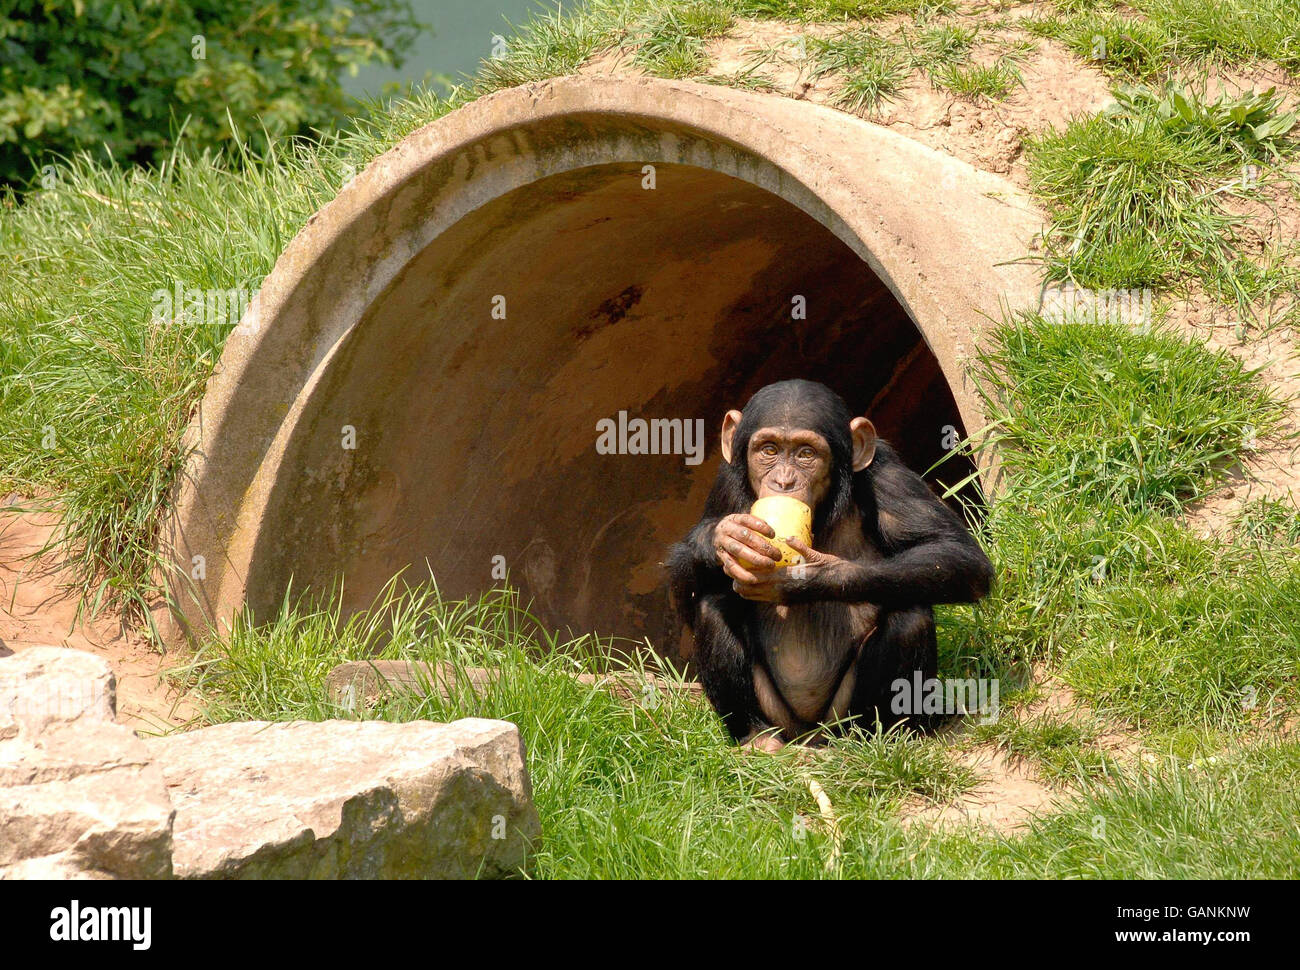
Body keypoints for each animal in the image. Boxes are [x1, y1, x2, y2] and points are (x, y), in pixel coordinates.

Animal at [668, 379, 993, 751]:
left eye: (806, 454)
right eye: (768, 449)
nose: (784, 482)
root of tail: (810, 737)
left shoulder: (889, 474)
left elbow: (955, 554)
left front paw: (807, 578)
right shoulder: (723, 482)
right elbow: (683, 593)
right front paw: (724, 539)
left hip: (839, 716)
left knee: (910, 616)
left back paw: (877, 738)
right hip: (781, 718)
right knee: (712, 606)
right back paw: (756, 738)